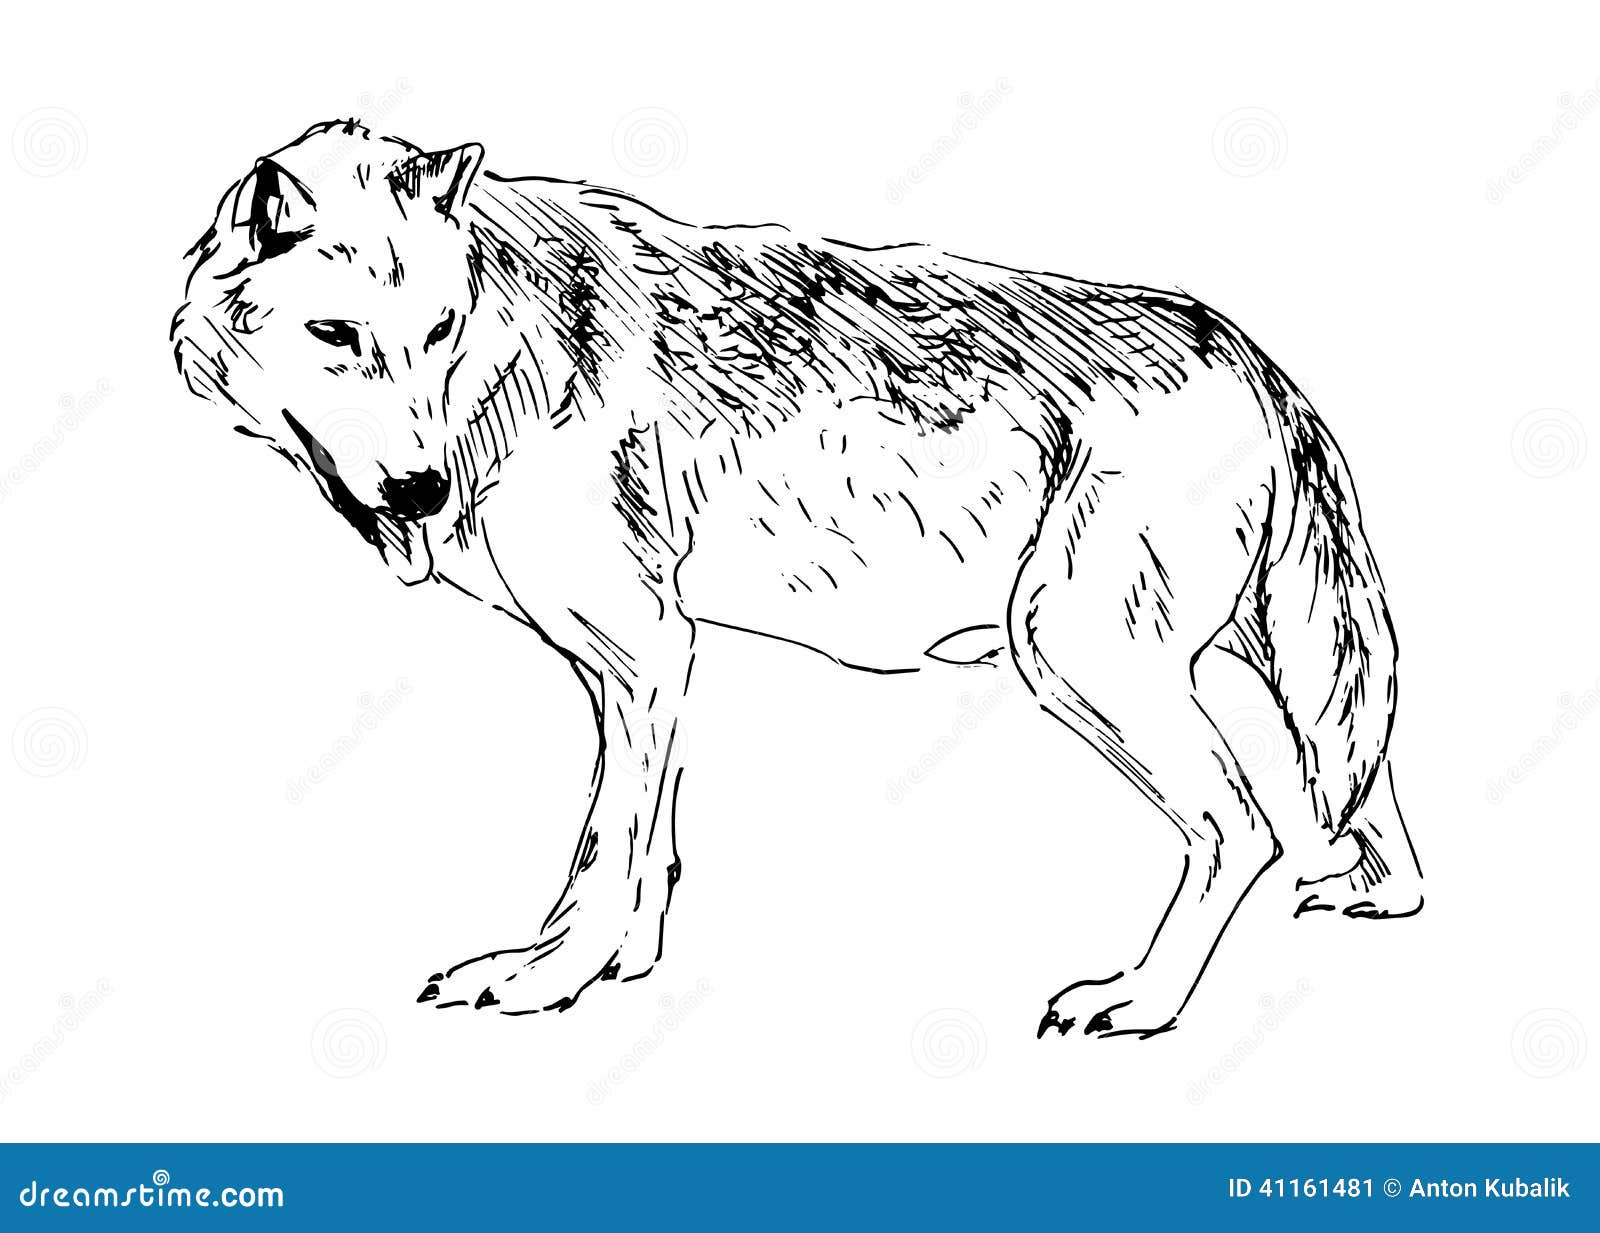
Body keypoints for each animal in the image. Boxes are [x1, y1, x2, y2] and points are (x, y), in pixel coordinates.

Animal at [172, 121, 1422, 1037]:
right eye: (337, 334)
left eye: (436, 331)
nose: (423, 491)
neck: (508, 359)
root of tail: (1250, 351)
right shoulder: (651, 660)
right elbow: (644, 847)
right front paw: (618, 968)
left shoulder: (642, 648)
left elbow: (602, 849)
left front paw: (543, 983)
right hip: (1251, 662)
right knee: (1354, 787)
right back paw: (1367, 892)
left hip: (1074, 659)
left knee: (1241, 825)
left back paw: (1143, 1002)